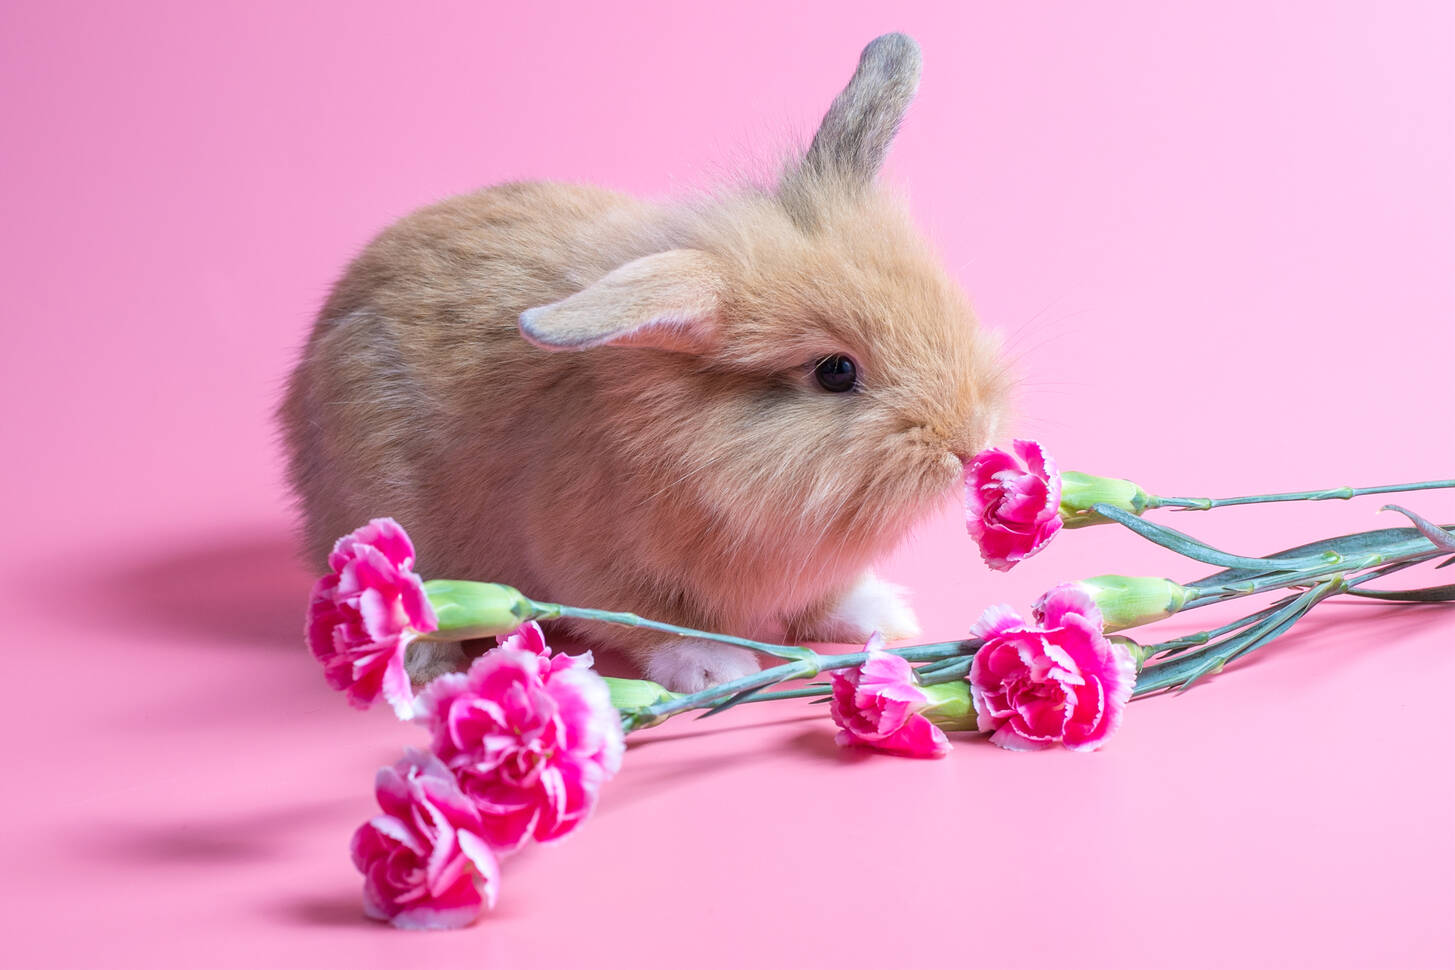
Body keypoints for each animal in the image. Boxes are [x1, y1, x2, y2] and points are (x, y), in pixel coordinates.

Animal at [280, 32, 1009, 694]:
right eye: (835, 372)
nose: (969, 444)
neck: (687, 446)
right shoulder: (590, 565)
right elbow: (647, 621)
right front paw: (714, 666)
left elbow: (823, 600)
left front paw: (880, 613)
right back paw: (432, 668)